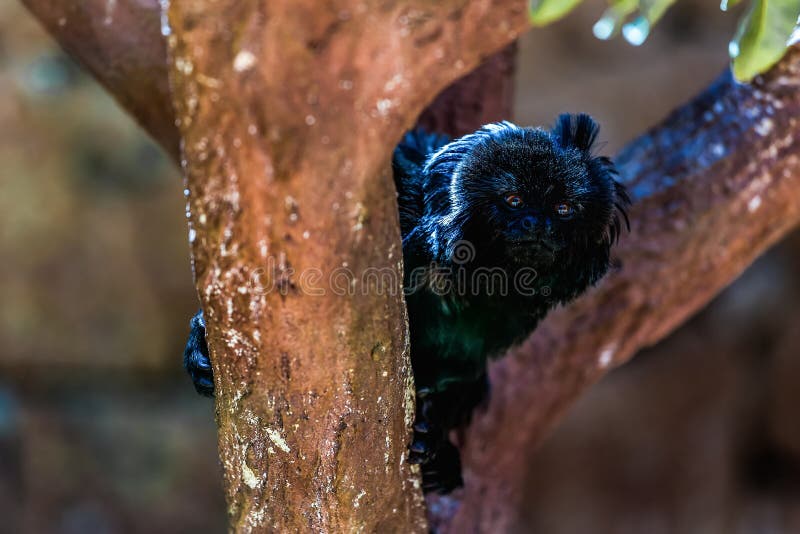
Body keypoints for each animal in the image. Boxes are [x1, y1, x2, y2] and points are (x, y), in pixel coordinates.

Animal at [183, 113, 630, 493]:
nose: (538, 224)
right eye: (514, 199)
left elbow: (461, 372)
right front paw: (201, 351)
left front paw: (435, 433)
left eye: (564, 208)